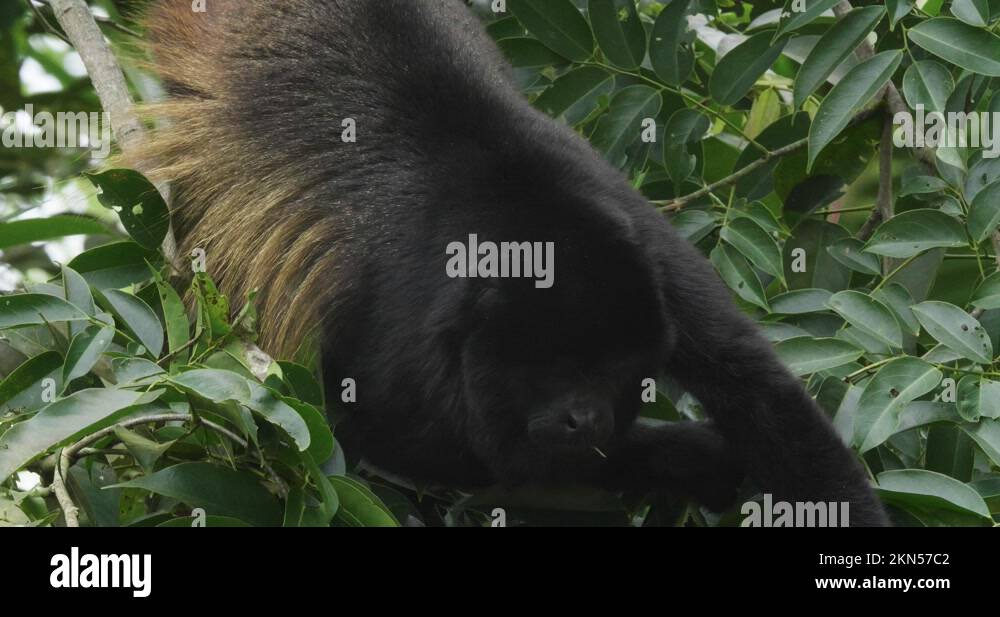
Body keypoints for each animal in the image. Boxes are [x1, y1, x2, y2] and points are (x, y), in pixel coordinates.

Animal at [129, 0, 888, 525]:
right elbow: (413, 446)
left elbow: (755, 384)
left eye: (616, 367)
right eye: (548, 360)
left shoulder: (643, 247)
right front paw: (687, 455)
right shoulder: (400, 320)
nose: (588, 418)